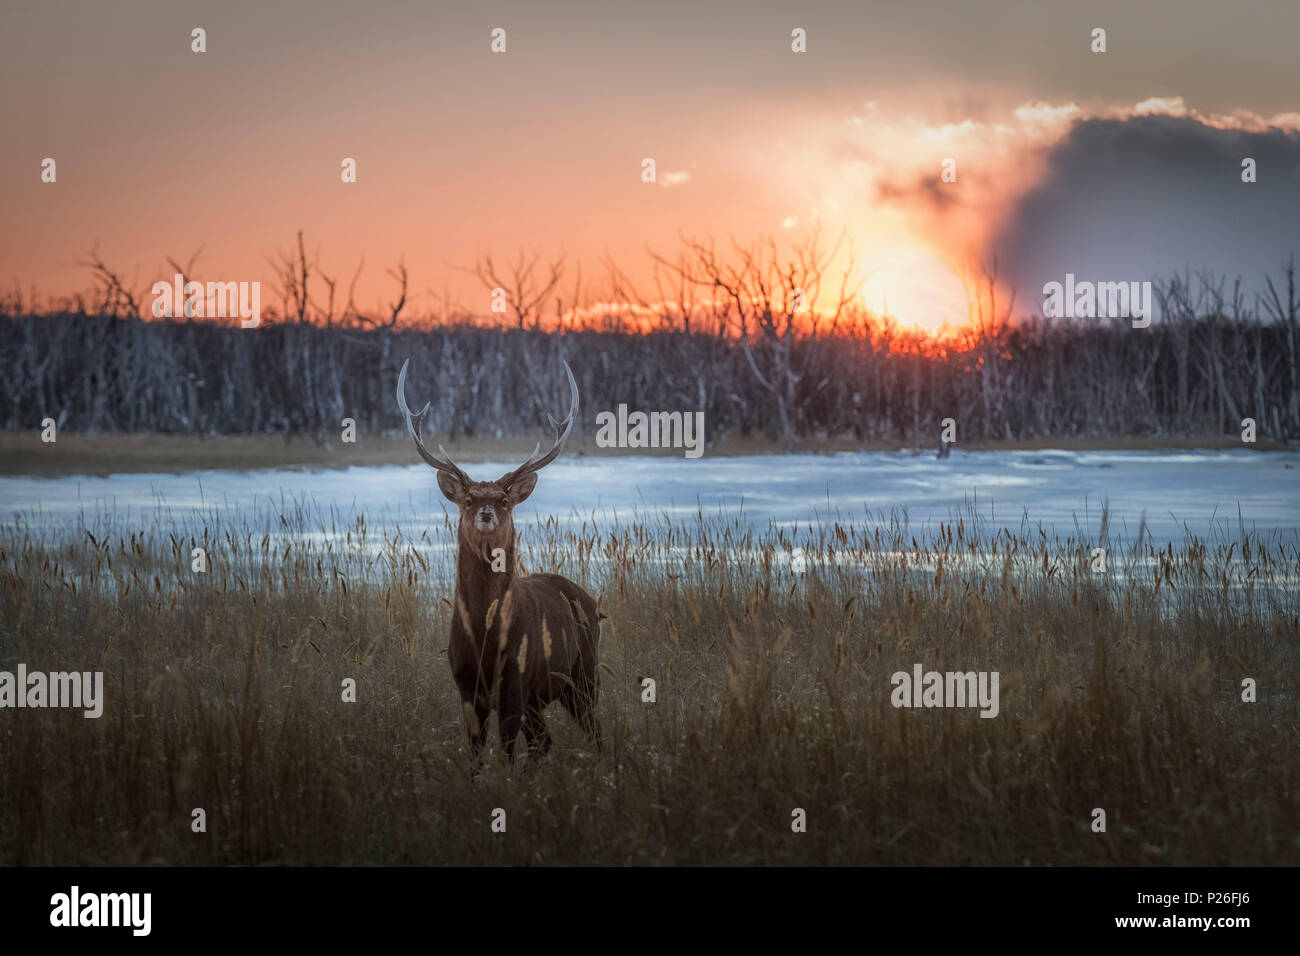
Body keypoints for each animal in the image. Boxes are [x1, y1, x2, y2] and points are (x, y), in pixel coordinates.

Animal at [396, 358, 603, 770]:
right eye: (469, 500)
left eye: (505, 500)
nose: (487, 513)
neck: (485, 636)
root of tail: (590, 600)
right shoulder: (465, 686)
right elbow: (476, 758)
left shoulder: (515, 683)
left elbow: (507, 754)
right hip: (546, 695)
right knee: (544, 741)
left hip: (583, 673)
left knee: (596, 732)